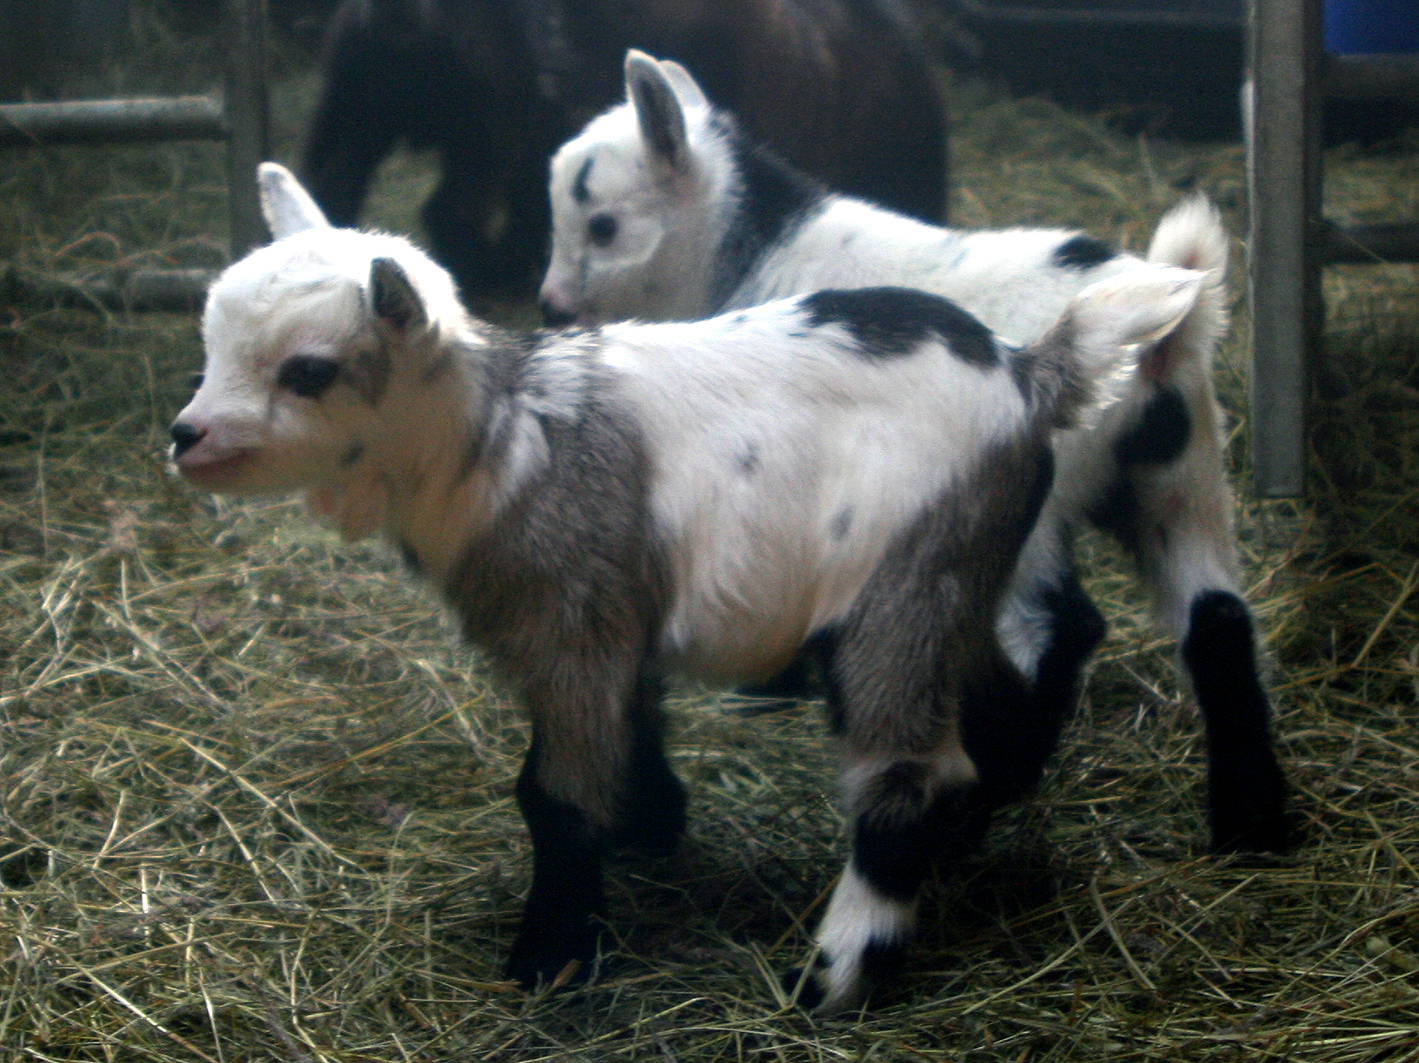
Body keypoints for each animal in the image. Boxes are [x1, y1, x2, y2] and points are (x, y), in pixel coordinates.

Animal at [169, 162, 1204, 1012]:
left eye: (310, 370)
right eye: (212, 339)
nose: (187, 436)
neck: (496, 441)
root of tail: (1031, 371)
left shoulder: (570, 618)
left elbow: (552, 795)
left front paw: (551, 952)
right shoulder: (616, 613)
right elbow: (636, 723)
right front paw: (649, 824)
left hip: (901, 582)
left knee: (912, 767)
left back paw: (839, 971)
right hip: (958, 572)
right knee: (996, 709)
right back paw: (962, 845)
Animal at [539, 52, 1289, 855]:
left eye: (604, 225)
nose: (549, 306)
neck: (754, 252)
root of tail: (1165, 342)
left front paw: (762, 688)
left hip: (1027, 499)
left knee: (1063, 625)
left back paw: (1001, 778)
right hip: (1181, 478)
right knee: (1218, 624)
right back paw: (1251, 821)